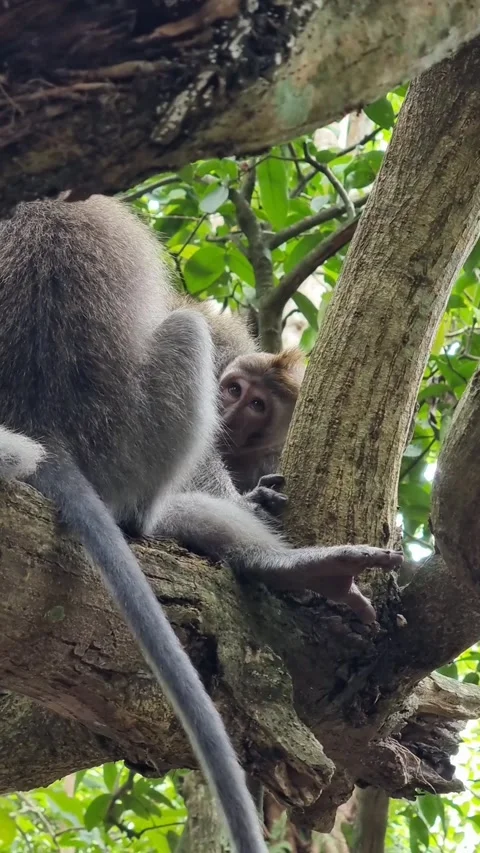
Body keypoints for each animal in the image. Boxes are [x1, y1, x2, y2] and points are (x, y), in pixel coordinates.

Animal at [0, 195, 402, 852]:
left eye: (257, 404)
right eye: (233, 391)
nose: (232, 411)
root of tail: (44, 427)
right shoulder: (221, 352)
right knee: (183, 341)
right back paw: (285, 565)